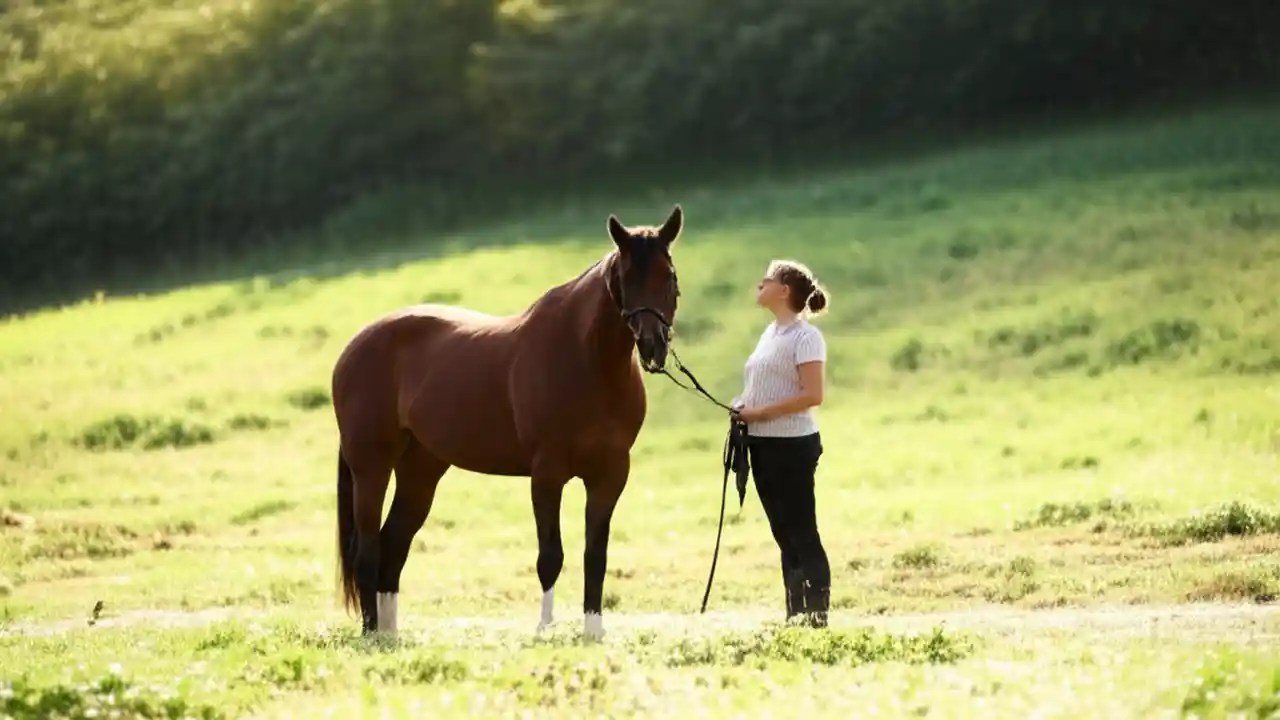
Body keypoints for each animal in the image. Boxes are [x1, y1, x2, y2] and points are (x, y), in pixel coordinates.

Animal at [332, 205, 683, 640]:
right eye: (626, 278)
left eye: (669, 276)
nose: (653, 345)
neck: (586, 361)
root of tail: (354, 348)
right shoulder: (547, 474)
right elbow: (550, 555)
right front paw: (545, 628)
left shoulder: (610, 474)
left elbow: (595, 554)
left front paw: (593, 631)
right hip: (371, 468)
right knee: (367, 551)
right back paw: (372, 634)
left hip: (420, 472)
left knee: (392, 548)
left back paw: (390, 634)